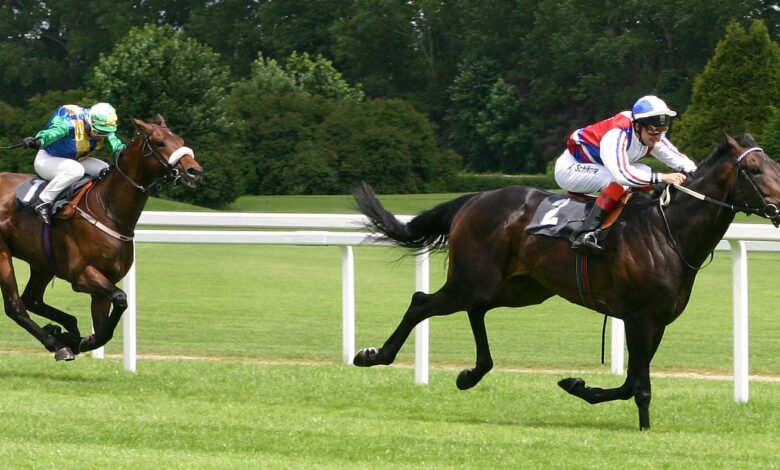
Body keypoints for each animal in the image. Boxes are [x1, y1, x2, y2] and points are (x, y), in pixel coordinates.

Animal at [0, 115, 202, 361]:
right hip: (3, 254)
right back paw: (56, 343)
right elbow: (121, 299)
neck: (108, 210)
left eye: (180, 140)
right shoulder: (83, 275)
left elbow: (105, 328)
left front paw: (75, 339)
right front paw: (72, 341)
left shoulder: (105, 283)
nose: (194, 171)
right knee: (16, 306)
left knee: (32, 299)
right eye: (159, 142)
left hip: (42, 263)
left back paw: (63, 329)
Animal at [351, 133, 780, 430]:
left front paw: (578, 386)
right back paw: (374, 355)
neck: (667, 230)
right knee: (421, 301)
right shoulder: (639, 317)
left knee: (477, 310)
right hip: (473, 279)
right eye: (755, 170)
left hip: (521, 287)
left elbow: (630, 382)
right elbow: (639, 385)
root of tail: (474, 198)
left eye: (774, 164)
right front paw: (644, 428)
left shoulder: (656, 321)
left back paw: (471, 373)